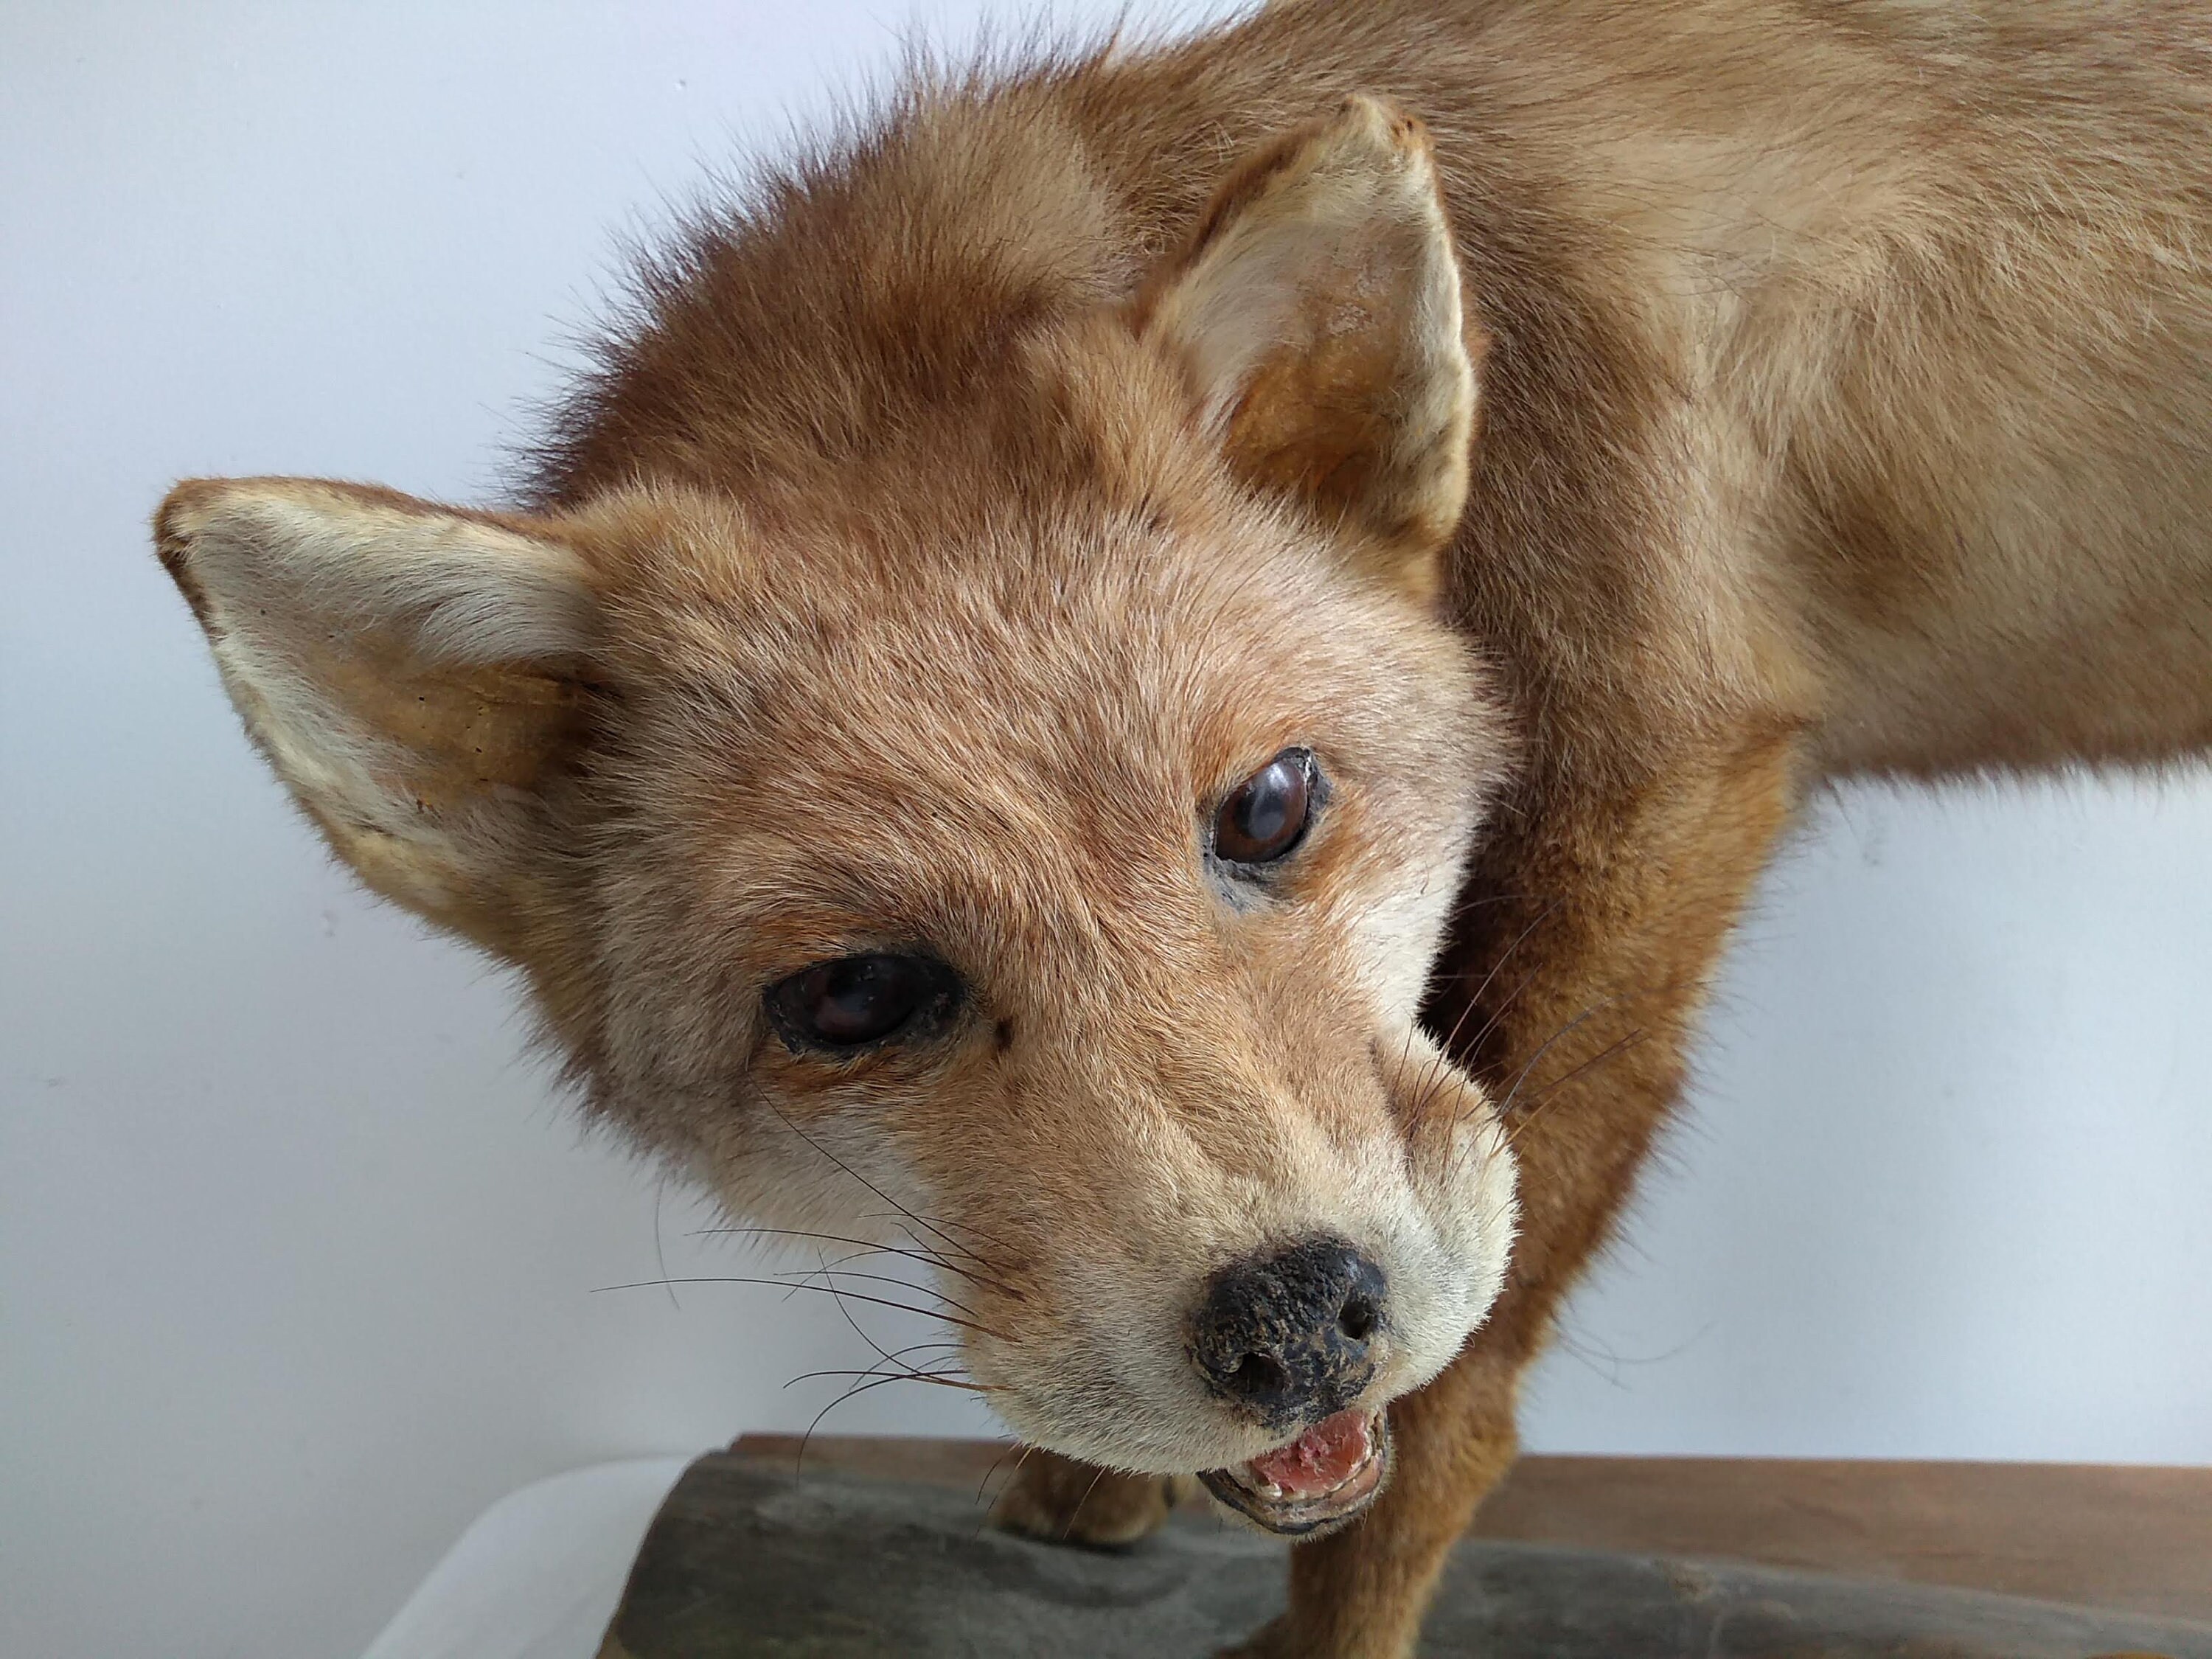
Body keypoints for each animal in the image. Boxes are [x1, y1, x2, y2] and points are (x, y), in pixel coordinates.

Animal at [151, 2, 2212, 1655]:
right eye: (853, 998)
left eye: (1273, 806)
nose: (1294, 1321)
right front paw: (1100, 1500)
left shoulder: (1668, 790)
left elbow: (1449, 1409)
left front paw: (1328, 1631)